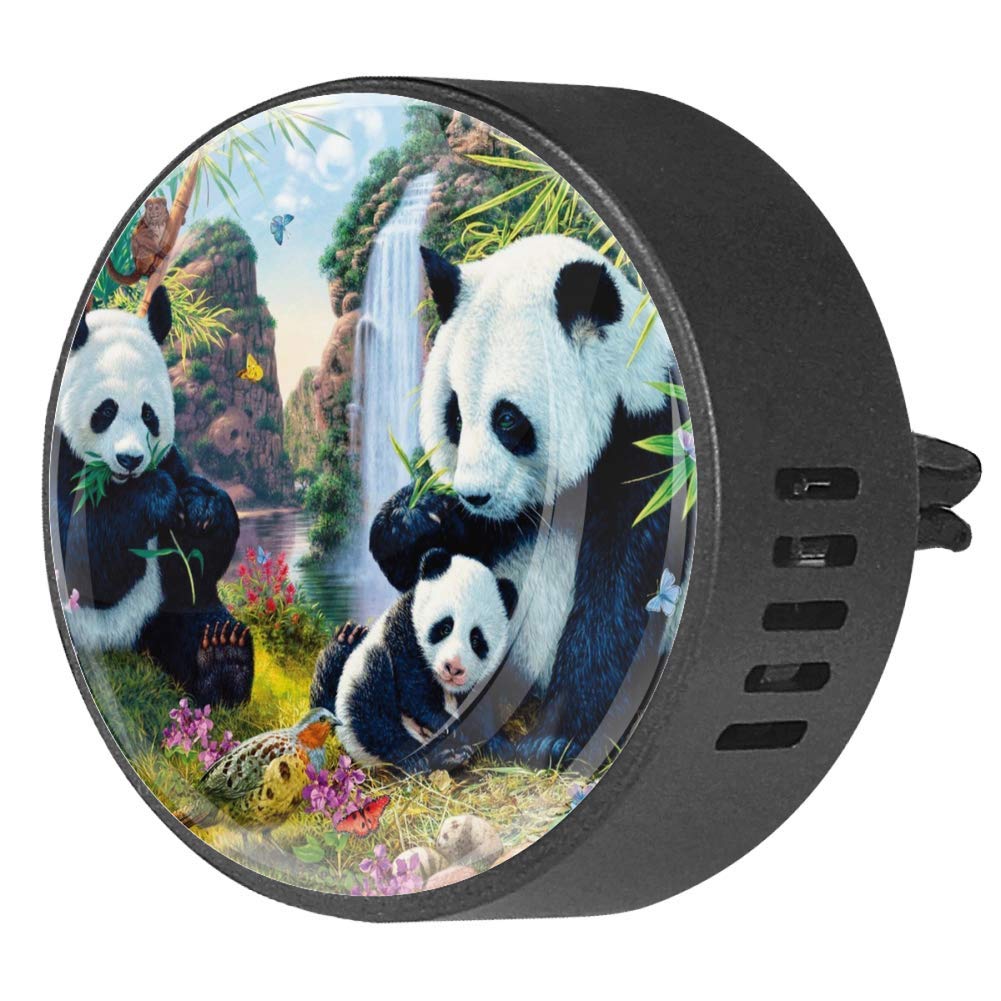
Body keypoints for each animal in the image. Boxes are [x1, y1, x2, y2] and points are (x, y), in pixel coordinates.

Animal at [54, 286, 253, 705]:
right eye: (106, 410)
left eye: (149, 414)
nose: (130, 459)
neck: (117, 484)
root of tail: (125, 643)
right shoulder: (64, 460)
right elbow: (84, 560)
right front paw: (155, 496)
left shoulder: (171, 457)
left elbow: (202, 560)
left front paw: (201, 508)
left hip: (161, 607)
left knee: (192, 615)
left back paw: (223, 662)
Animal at [310, 549, 518, 772]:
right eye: (445, 627)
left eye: (476, 640)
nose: (453, 668)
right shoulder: (404, 630)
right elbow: (414, 691)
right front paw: (450, 726)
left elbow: (481, 706)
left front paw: (500, 745)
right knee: (374, 713)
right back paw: (420, 759)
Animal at [369, 234, 679, 768]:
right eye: (454, 414)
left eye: (508, 418)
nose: (474, 494)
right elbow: (428, 564)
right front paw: (415, 517)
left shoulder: (649, 448)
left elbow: (622, 590)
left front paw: (555, 737)